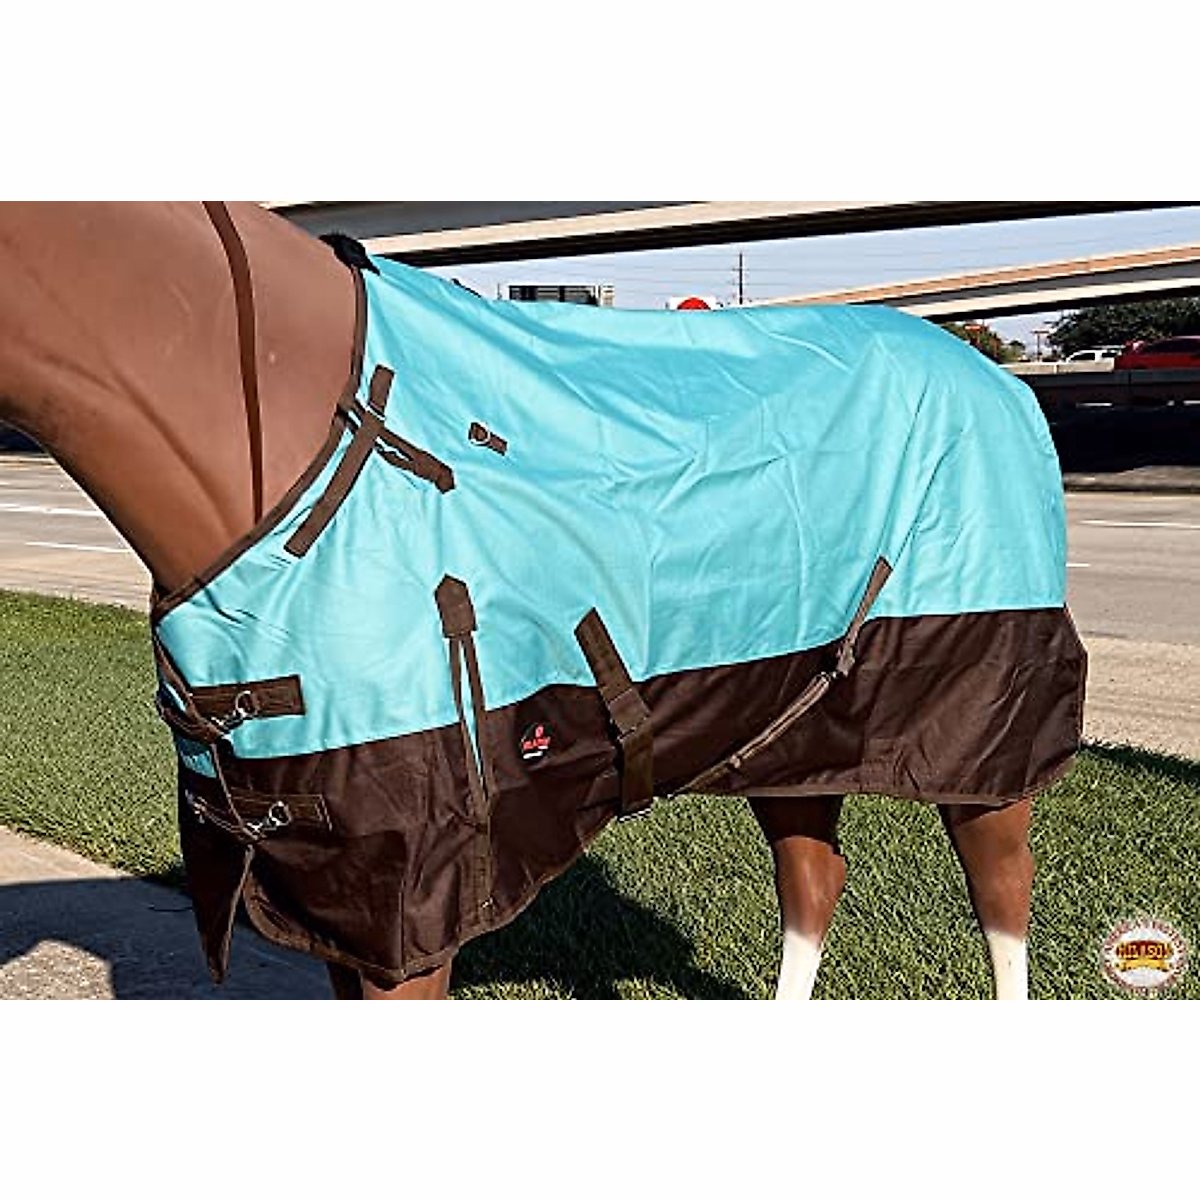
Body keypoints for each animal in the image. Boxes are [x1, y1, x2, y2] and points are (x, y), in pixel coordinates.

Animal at [0, 201, 1086, 1000]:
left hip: (978, 722)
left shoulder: (412, 899)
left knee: (1001, 890)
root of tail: (996, 377)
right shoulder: (340, 894)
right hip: (788, 723)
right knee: (814, 880)